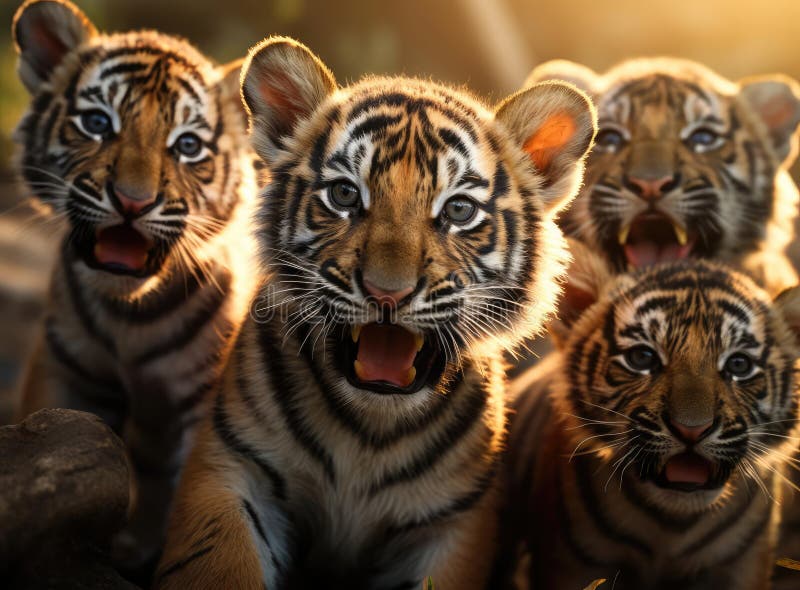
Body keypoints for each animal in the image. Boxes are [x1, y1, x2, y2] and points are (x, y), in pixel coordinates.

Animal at [11, 0, 259, 573]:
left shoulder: (202, 403)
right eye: (97, 123)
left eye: (187, 146)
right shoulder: (65, 374)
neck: (130, 317)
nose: (132, 201)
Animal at [152, 36, 596, 590]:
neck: (369, 429)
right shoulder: (232, 466)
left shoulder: (453, 524)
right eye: (345, 195)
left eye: (458, 210)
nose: (388, 293)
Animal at [497, 240, 800, 590]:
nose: (691, 430)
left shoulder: (740, 565)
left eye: (739, 365)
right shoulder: (572, 563)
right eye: (642, 358)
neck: (672, 526)